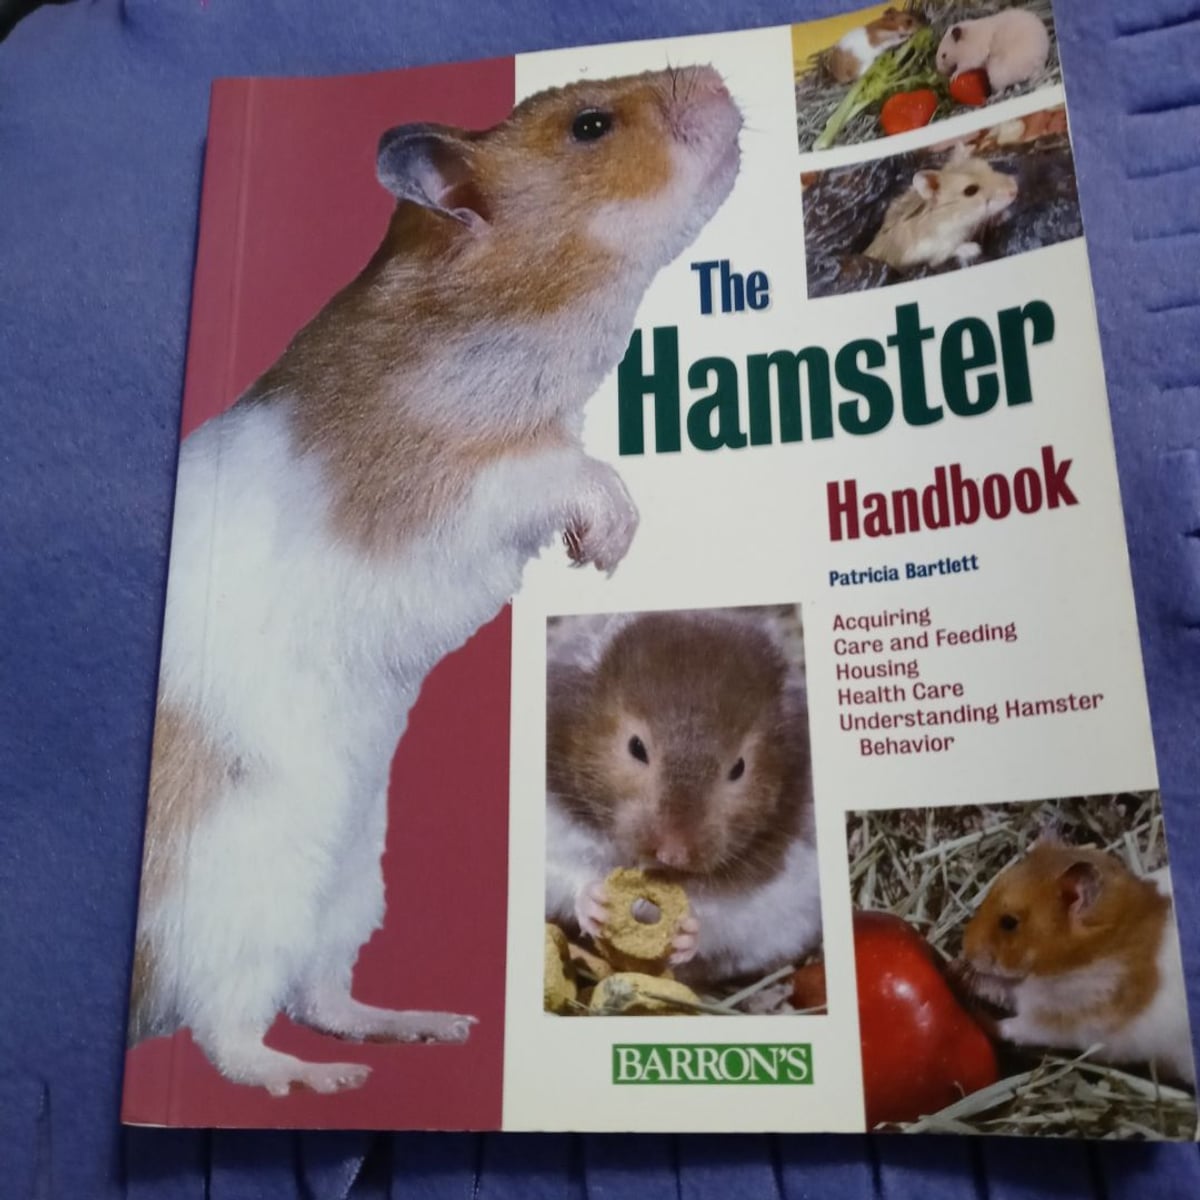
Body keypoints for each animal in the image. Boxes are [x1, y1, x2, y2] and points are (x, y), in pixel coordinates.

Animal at [128, 67, 742, 1096]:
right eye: (590, 126)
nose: (718, 78)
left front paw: (599, 554)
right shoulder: (446, 484)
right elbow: (562, 471)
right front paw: (607, 543)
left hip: (350, 883)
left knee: (322, 994)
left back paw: (432, 1025)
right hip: (239, 897)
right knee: (231, 1030)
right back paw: (321, 1079)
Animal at [545, 609, 821, 987]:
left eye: (739, 768)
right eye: (636, 747)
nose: (672, 854)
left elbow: (720, 916)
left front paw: (685, 935)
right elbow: (569, 871)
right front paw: (597, 902)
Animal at [864, 144, 1018, 270]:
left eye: (989, 168)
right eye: (970, 190)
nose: (1015, 190)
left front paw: (1005, 215)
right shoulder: (934, 250)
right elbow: (949, 252)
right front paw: (975, 249)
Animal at [959, 838, 1196, 1087]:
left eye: (1009, 922)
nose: (964, 946)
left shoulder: (1058, 1020)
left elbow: (1010, 1027)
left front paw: (976, 1013)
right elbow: (1002, 988)